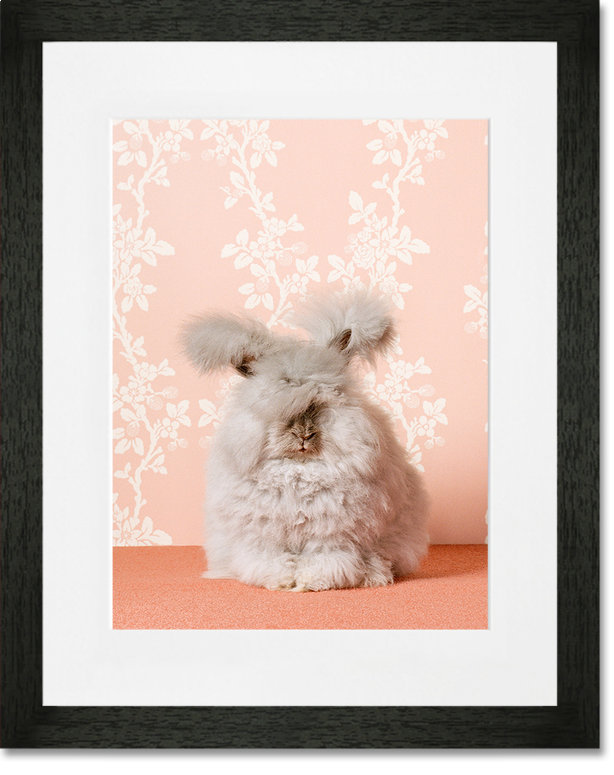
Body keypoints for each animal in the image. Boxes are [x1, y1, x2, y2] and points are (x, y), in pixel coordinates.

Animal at [182, 290, 429, 591]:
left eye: (323, 402)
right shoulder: (265, 537)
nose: (303, 434)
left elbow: (326, 559)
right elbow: (270, 559)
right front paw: (281, 580)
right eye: (273, 403)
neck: (299, 471)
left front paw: (314, 581)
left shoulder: (331, 535)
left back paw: (372, 575)